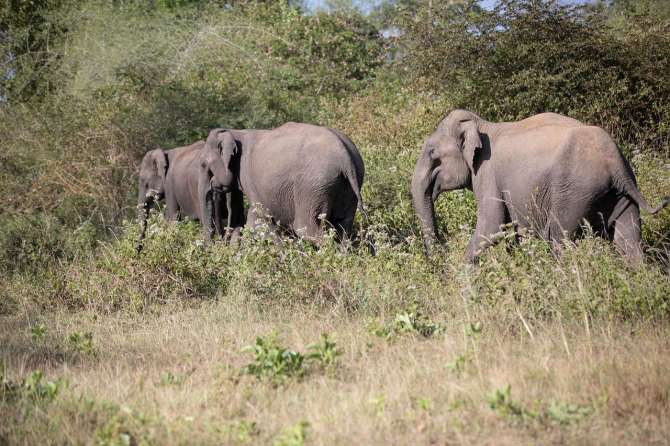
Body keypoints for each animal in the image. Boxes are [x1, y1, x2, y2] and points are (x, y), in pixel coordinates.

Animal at [199, 122, 367, 244]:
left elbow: (259, 219)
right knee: (343, 225)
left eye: (203, 165)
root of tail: (344, 155)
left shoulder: (248, 178)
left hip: (313, 186)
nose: (217, 243)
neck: (235, 132)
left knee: (307, 229)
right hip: (348, 182)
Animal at [411, 109, 670, 263]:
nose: (442, 254)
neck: (482, 125)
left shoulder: (488, 173)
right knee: (629, 242)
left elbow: (491, 226)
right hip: (621, 193)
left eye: (432, 152)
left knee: (560, 238)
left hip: (573, 191)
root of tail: (614, 161)